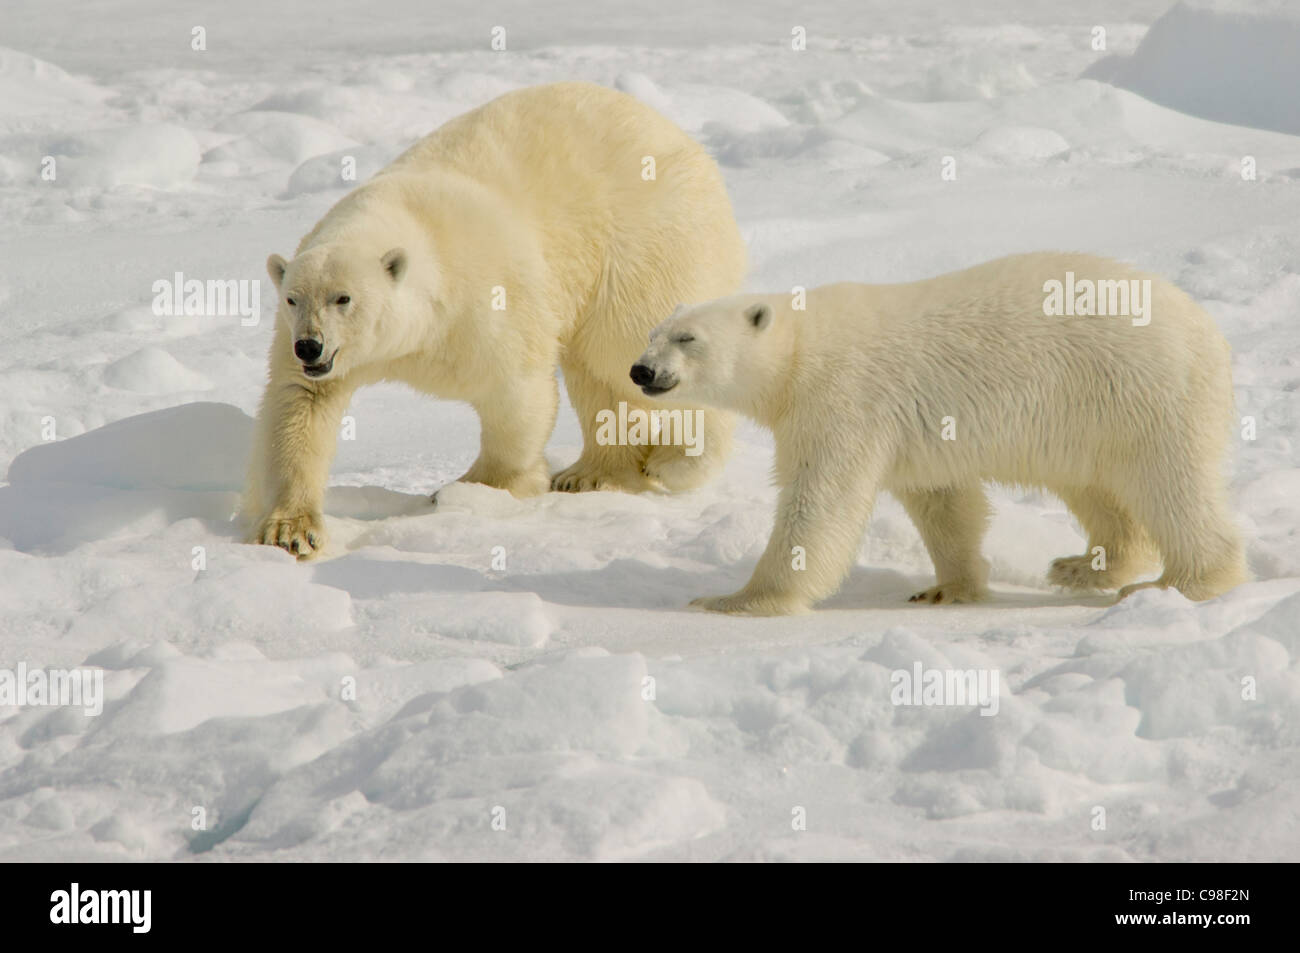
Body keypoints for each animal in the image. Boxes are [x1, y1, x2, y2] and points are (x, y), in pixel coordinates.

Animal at [244, 82, 746, 557]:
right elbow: (301, 403)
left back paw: (676, 460)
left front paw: (479, 487)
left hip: (645, 247)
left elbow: (514, 388)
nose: (310, 345)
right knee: (599, 378)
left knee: (626, 348)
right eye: (292, 299)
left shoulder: (485, 297)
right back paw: (591, 474)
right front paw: (291, 531)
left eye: (343, 298)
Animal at [631, 252, 1248, 615]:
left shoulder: (843, 399)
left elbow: (820, 501)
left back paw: (1180, 584)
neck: (801, 348)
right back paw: (1082, 566)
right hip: (1092, 417)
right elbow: (943, 501)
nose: (641, 370)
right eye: (652, 331)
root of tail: (1210, 332)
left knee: (1170, 484)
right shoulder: (912, 433)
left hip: (1143, 391)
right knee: (1096, 488)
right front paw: (949, 586)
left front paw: (734, 599)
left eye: (687, 338)